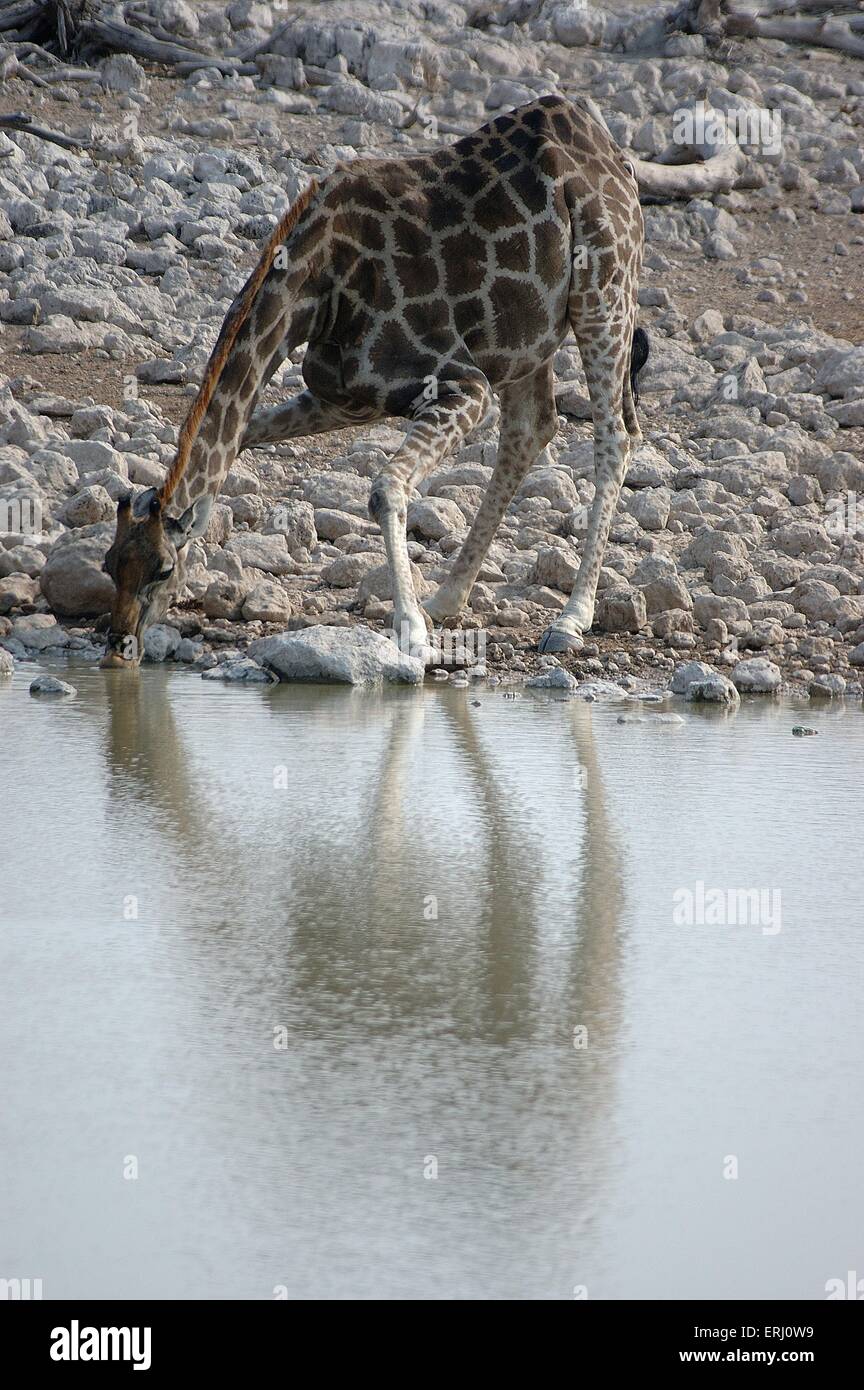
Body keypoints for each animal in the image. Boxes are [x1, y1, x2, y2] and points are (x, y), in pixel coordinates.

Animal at [100, 95, 647, 669]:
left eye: (163, 568)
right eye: (110, 563)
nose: (119, 647)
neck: (317, 290)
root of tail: (612, 152)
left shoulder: (460, 383)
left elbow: (386, 489)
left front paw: (410, 632)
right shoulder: (345, 397)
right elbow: (242, 437)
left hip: (603, 293)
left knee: (615, 436)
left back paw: (570, 619)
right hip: (526, 335)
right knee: (531, 429)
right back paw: (447, 598)